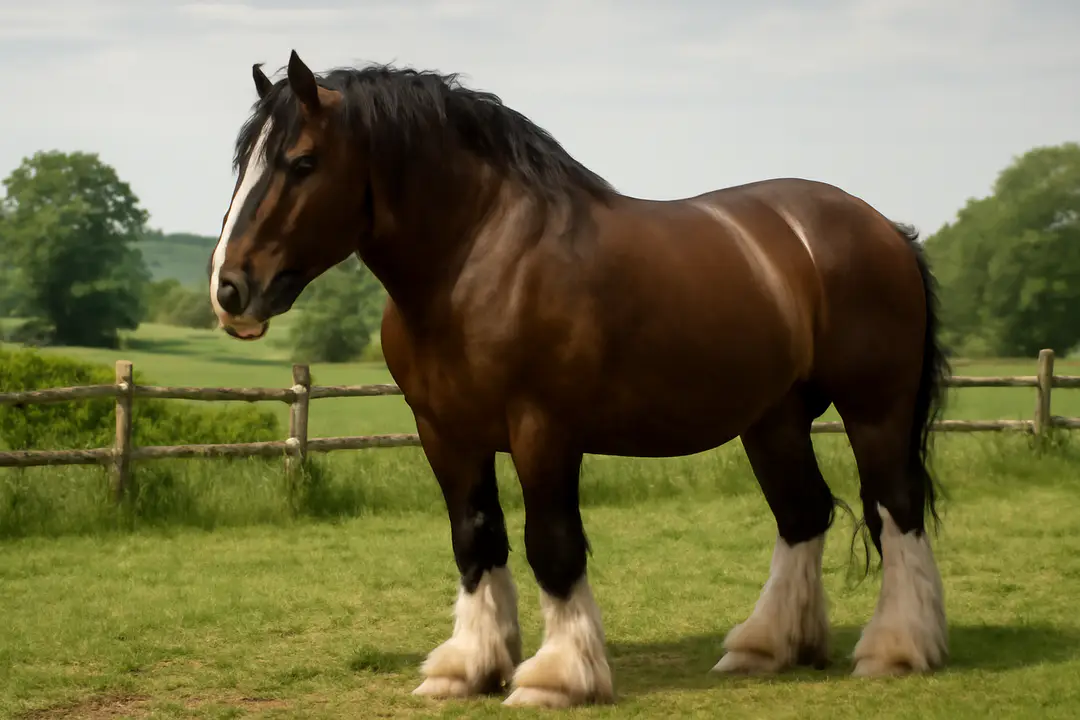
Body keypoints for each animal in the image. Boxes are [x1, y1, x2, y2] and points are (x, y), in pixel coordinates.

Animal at [207, 50, 950, 708]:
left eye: (302, 162)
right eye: (244, 164)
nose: (229, 289)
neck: (479, 259)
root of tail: (885, 228)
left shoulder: (544, 430)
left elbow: (553, 545)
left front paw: (558, 675)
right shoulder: (446, 433)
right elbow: (475, 538)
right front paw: (468, 666)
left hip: (875, 408)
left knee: (897, 508)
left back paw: (898, 648)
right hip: (774, 418)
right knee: (803, 514)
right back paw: (766, 646)